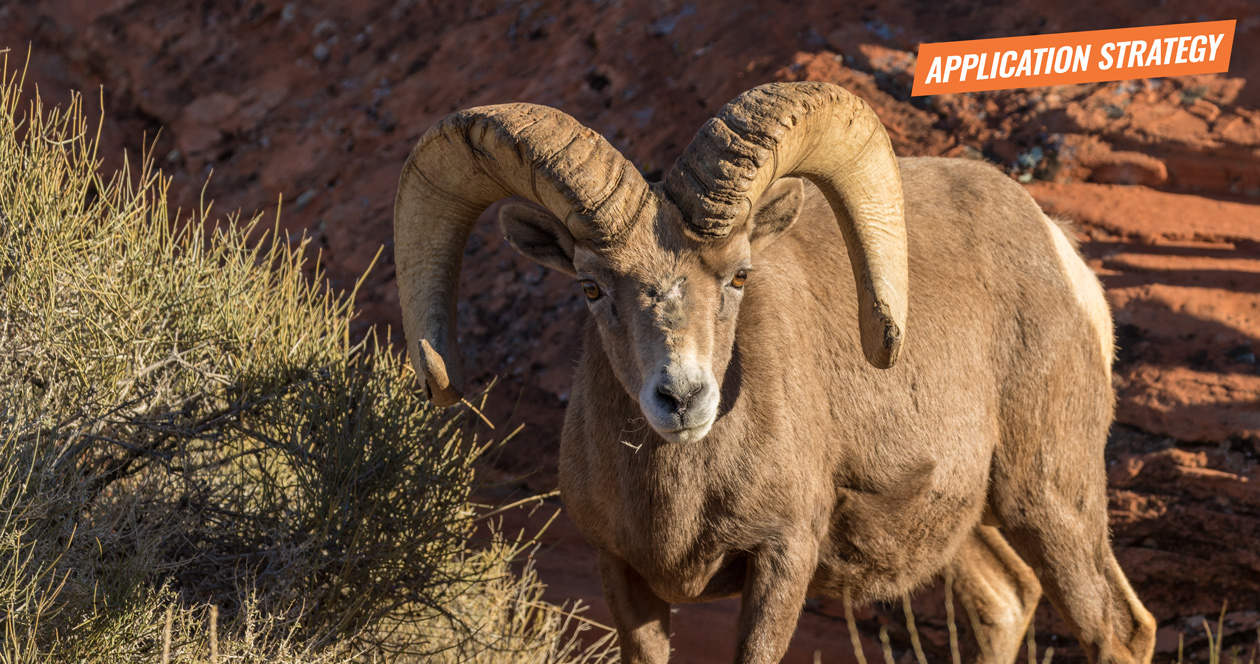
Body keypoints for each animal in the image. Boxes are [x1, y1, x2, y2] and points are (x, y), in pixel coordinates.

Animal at [392, 81, 1156, 664]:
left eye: (738, 275)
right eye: (590, 288)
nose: (682, 398)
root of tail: (1063, 255)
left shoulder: (782, 560)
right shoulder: (623, 573)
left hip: (1047, 498)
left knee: (1117, 628)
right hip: (974, 523)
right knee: (1006, 602)